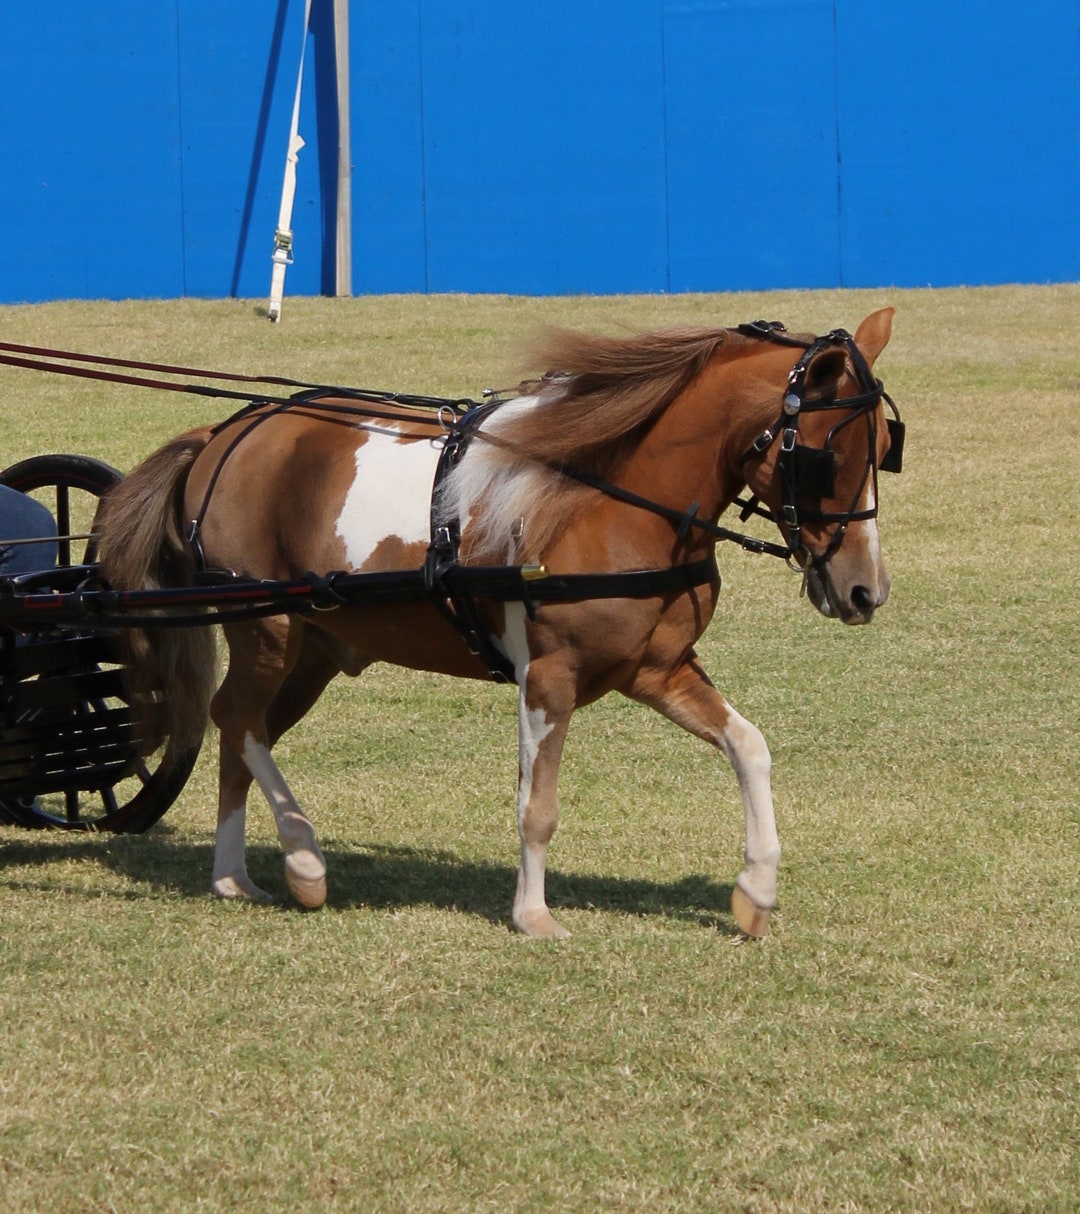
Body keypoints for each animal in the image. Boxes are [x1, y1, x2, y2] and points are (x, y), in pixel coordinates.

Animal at [96, 308, 902, 939]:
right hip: (269, 631)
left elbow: (749, 746)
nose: (865, 590)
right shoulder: (548, 677)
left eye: (884, 452)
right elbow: (536, 804)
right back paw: (301, 855)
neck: (609, 497)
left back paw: (234, 875)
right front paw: (533, 915)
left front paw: (756, 890)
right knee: (235, 716)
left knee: (243, 731)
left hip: (315, 649)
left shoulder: (658, 670)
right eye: (826, 459)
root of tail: (227, 430)